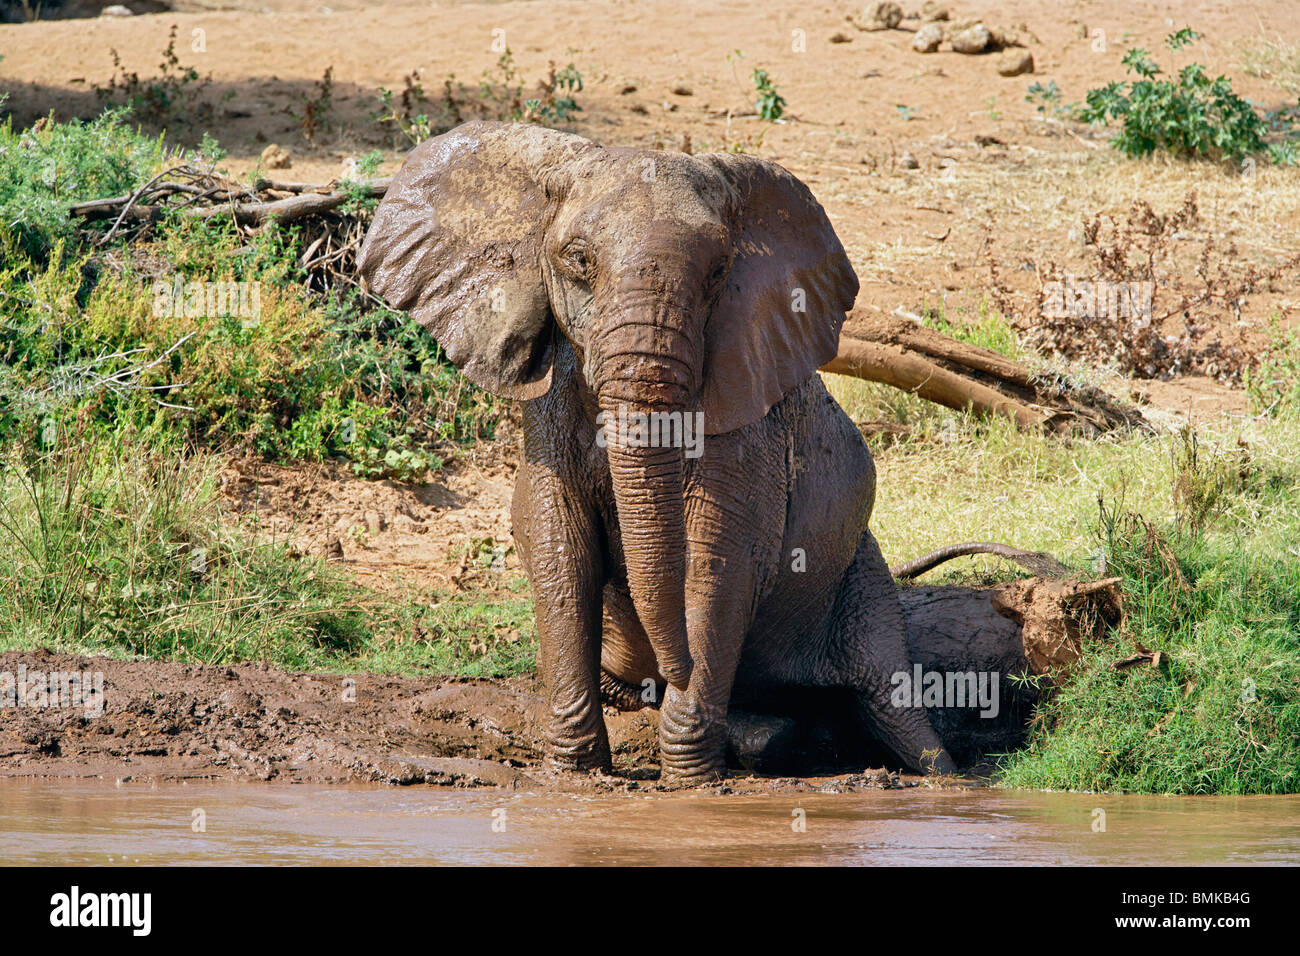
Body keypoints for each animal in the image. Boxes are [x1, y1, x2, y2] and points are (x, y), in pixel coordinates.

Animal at [358, 120, 958, 783]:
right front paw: (575, 772)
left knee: (898, 708)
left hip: (863, 577)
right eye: (578, 260)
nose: (676, 673)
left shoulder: (742, 409)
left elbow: (718, 558)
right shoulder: (554, 397)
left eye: (720, 271)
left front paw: (691, 780)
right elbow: (559, 544)